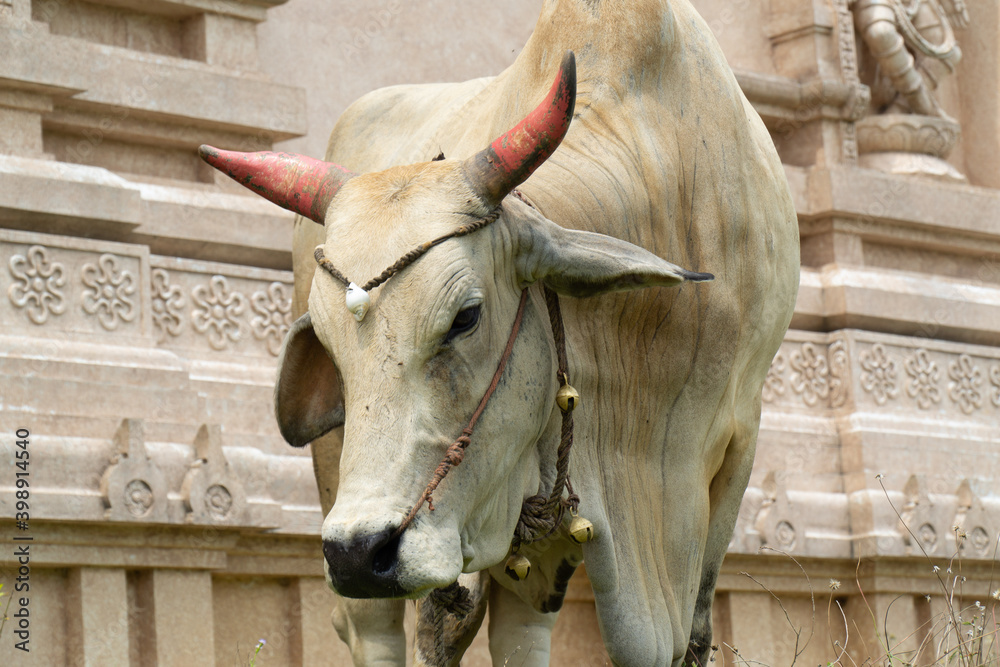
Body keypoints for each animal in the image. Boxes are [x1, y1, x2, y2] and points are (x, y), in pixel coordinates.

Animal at [200, 0, 799, 664]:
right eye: (328, 345)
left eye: (466, 316)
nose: (358, 553)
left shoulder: (735, 450)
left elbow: (693, 634)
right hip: (348, 478)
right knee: (378, 625)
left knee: (522, 625)